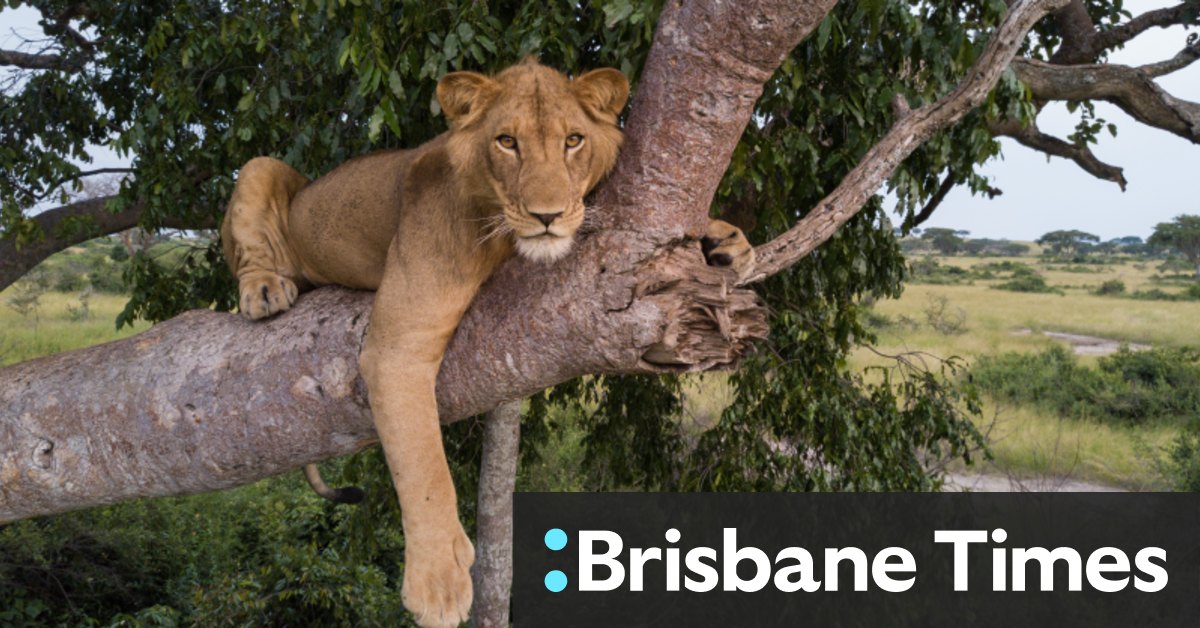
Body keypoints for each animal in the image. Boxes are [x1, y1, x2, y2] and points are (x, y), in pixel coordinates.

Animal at [220, 58, 754, 627]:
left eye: (573, 140)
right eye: (506, 142)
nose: (547, 216)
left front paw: (725, 240)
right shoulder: (397, 347)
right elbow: (423, 465)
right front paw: (437, 581)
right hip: (260, 169)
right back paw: (265, 289)